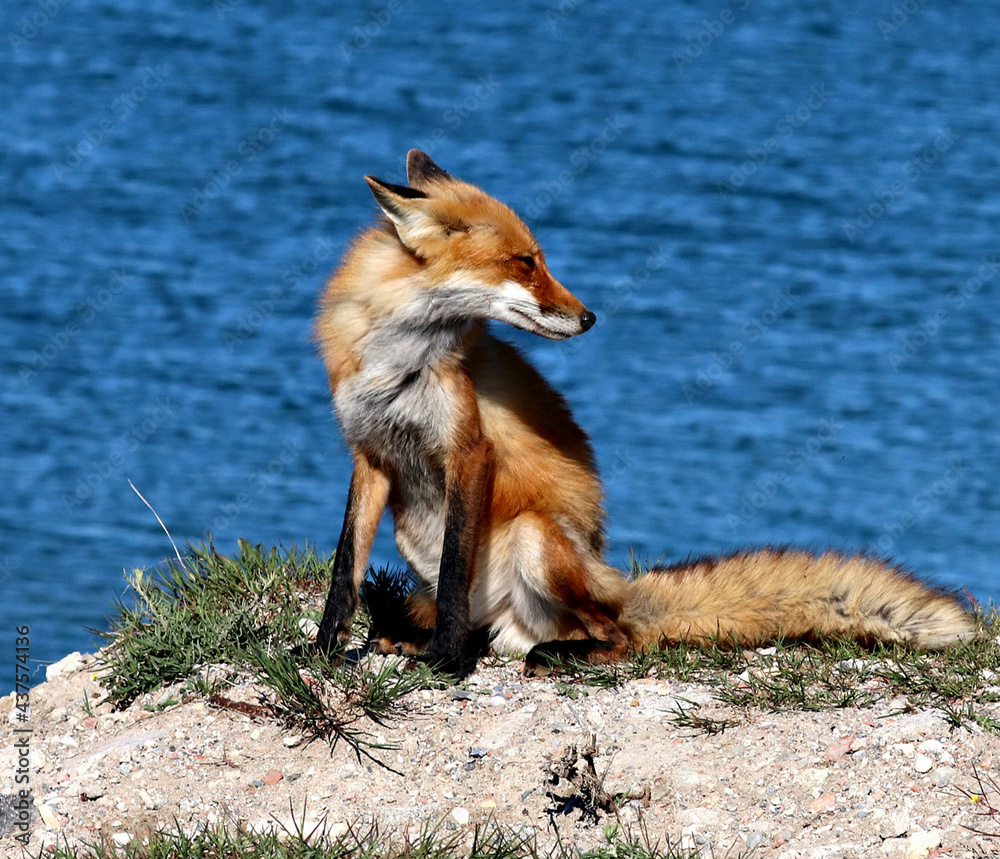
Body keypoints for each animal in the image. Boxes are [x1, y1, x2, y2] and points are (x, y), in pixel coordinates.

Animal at [313, 149, 975, 677]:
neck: (400, 363)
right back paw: (415, 636)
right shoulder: (369, 454)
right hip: (418, 535)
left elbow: (453, 574)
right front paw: (319, 652)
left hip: (536, 539)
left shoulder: (469, 451)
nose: (589, 318)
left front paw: (446, 662)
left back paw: (554, 654)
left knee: (620, 636)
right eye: (525, 263)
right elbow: (345, 571)